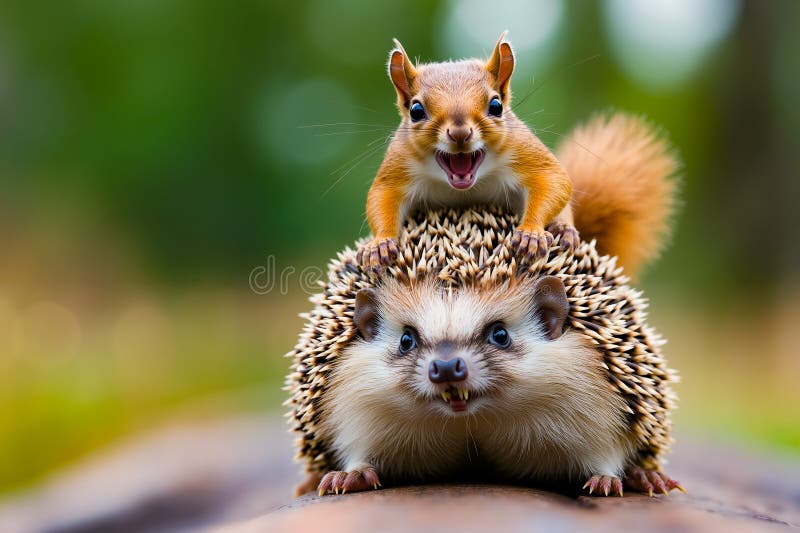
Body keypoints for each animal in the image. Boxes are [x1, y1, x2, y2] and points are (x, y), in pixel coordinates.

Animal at [293, 111, 680, 497]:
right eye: (406, 340)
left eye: (499, 335)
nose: (446, 368)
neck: (473, 419)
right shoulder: (351, 400)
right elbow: (356, 446)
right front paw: (350, 475)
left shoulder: (604, 396)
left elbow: (608, 451)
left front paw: (608, 478)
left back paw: (647, 476)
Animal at [356, 33, 578, 270]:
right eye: (415, 111)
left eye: (496, 106)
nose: (460, 133)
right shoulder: (399, 163)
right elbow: (381, 197)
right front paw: (380, 244)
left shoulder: (522, 150)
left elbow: (553, 179)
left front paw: (531, 233)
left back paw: (564, 229)